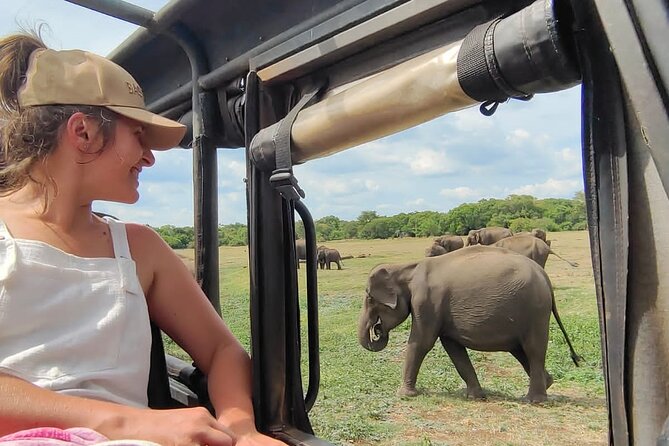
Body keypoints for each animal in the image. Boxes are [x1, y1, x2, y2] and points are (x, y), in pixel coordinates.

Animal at [357, 245, 581, 402]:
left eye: (369, 299)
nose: (377, 330)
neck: (406, 267)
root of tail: (545, 277)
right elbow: (453, 347)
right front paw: (475, 397)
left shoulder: (426, 302)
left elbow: (421, 342)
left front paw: (404, 395)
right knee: (520, 349)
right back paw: (548, 383)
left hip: (535, 311)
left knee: (533, 348)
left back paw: (534, 400)